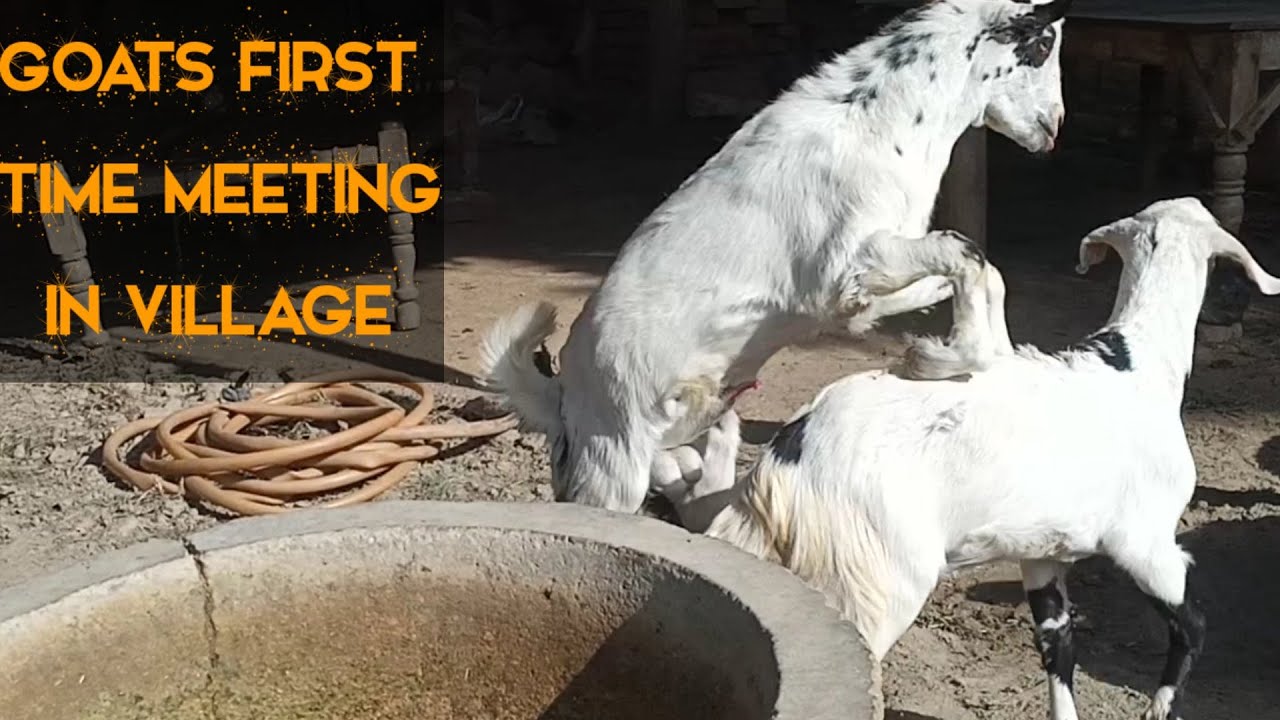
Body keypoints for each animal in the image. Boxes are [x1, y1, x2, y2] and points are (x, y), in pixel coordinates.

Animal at [479, 0, 1074, 514]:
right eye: (1043, 43)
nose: (1054, 126)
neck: (882, 120)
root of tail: (561, 397)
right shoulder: (849, 263)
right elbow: (965, 249)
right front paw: (934, 358)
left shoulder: (864, 286)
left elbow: (981, 272)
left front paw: (971, 354)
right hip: (613, 465)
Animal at [692, 197, 1280, 720]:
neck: (1137, 368)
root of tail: (783, 469)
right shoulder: (1145, 540)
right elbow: (1192, 626)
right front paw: (1160, 708)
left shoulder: (1042, 554)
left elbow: (1059, 647)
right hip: (873, 579)